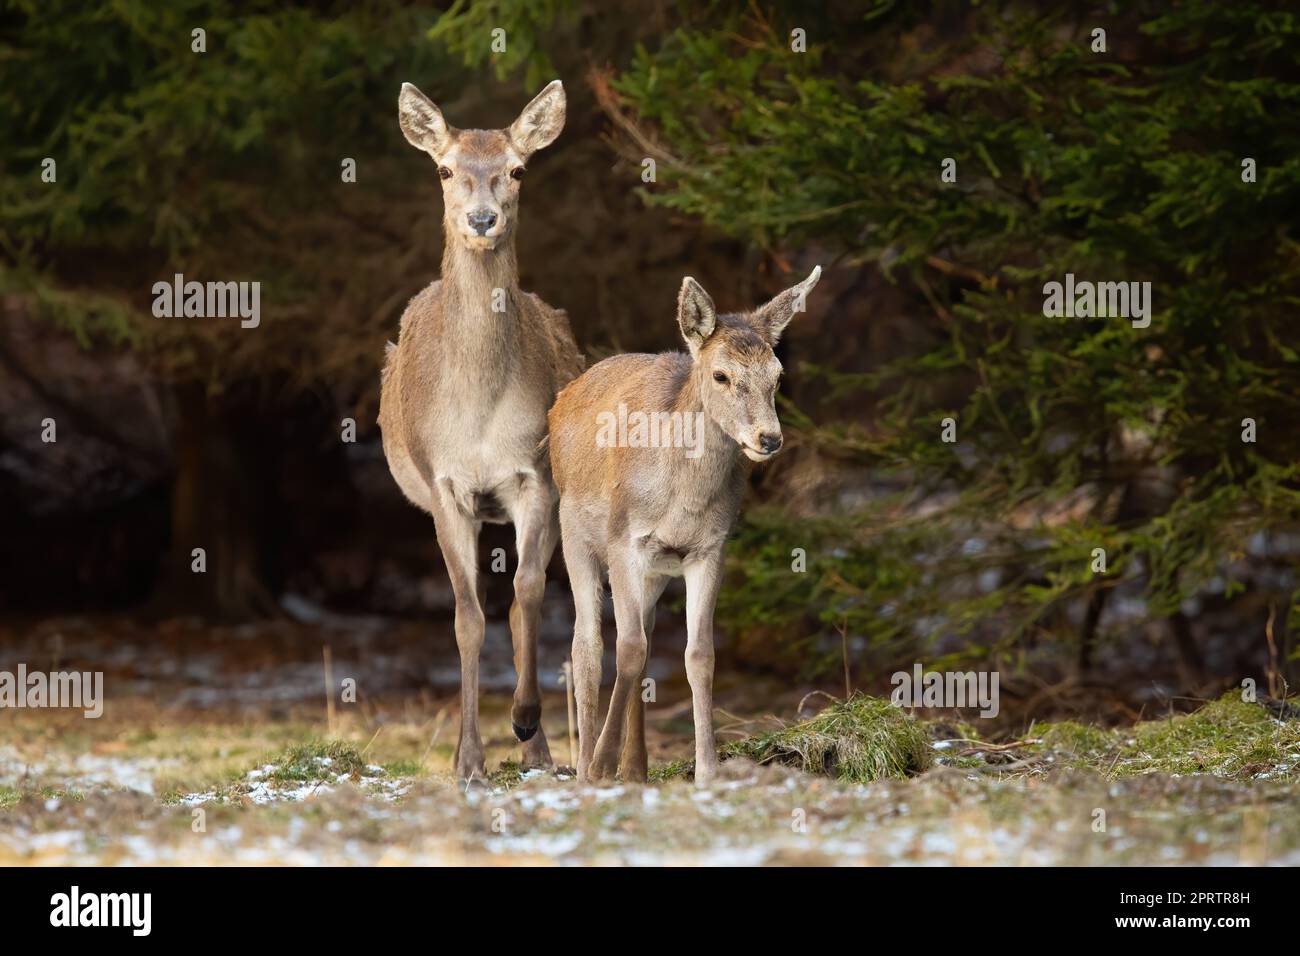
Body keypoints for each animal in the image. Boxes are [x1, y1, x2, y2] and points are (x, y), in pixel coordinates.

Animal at [378, 80, 583, 781]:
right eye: (444, 170)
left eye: (517, 169)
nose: (483, 219)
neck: (480, 414)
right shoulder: (445, 483)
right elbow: (467, 616)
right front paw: (467, 760)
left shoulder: (535, 477)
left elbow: (528, 596)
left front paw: (525, 723)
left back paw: (539, 745)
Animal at [548, 266, 821, 786]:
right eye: (721, 375)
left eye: (778, 376)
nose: (769, 439)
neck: (681, 501)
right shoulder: (624, 540)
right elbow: (627, 648)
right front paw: (600, 765)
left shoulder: (710, 550)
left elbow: (699, 656)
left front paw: (708, 769)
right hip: (573, 534)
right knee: (586, 644)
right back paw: (587, 764)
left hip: (655, 572)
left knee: (648, 641)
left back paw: (636, 768)